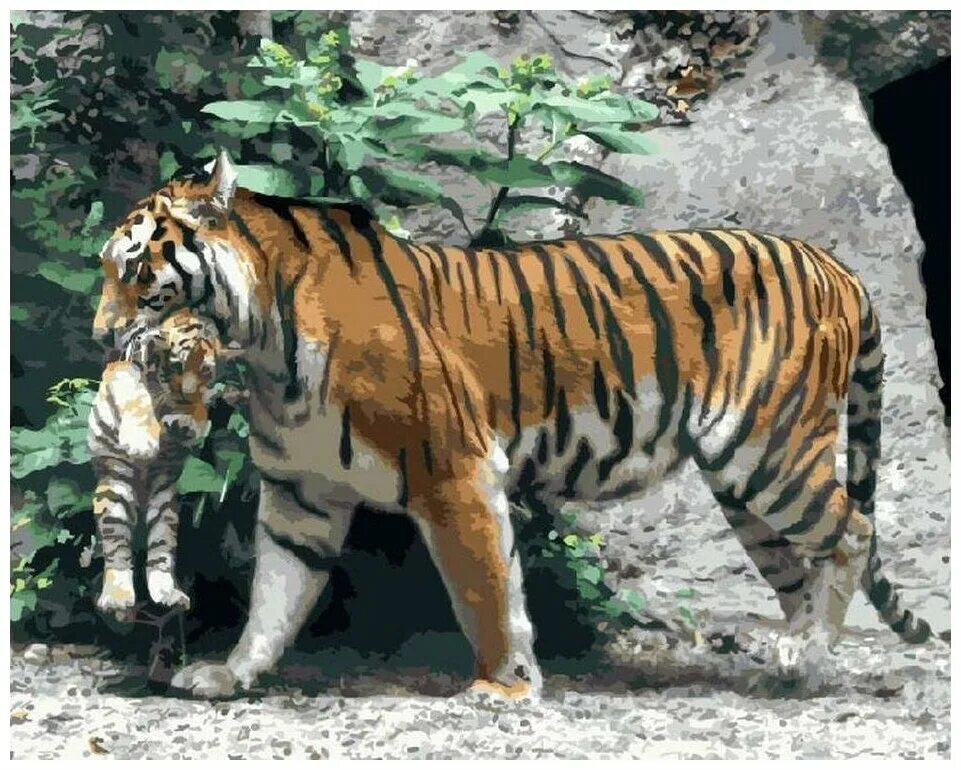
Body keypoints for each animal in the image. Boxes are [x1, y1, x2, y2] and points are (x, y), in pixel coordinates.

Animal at [89, 307, 220, 621]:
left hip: (165, 497)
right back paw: (116, 598)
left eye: (205, 371)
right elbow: (135, 390)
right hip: (115, 487)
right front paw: (141, 442)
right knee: (117, 548)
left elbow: (199, 403)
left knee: (161, 547)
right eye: (175, 366)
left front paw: (189, 420)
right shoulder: (123, 365)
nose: (184, 396)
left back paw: (168, 593)